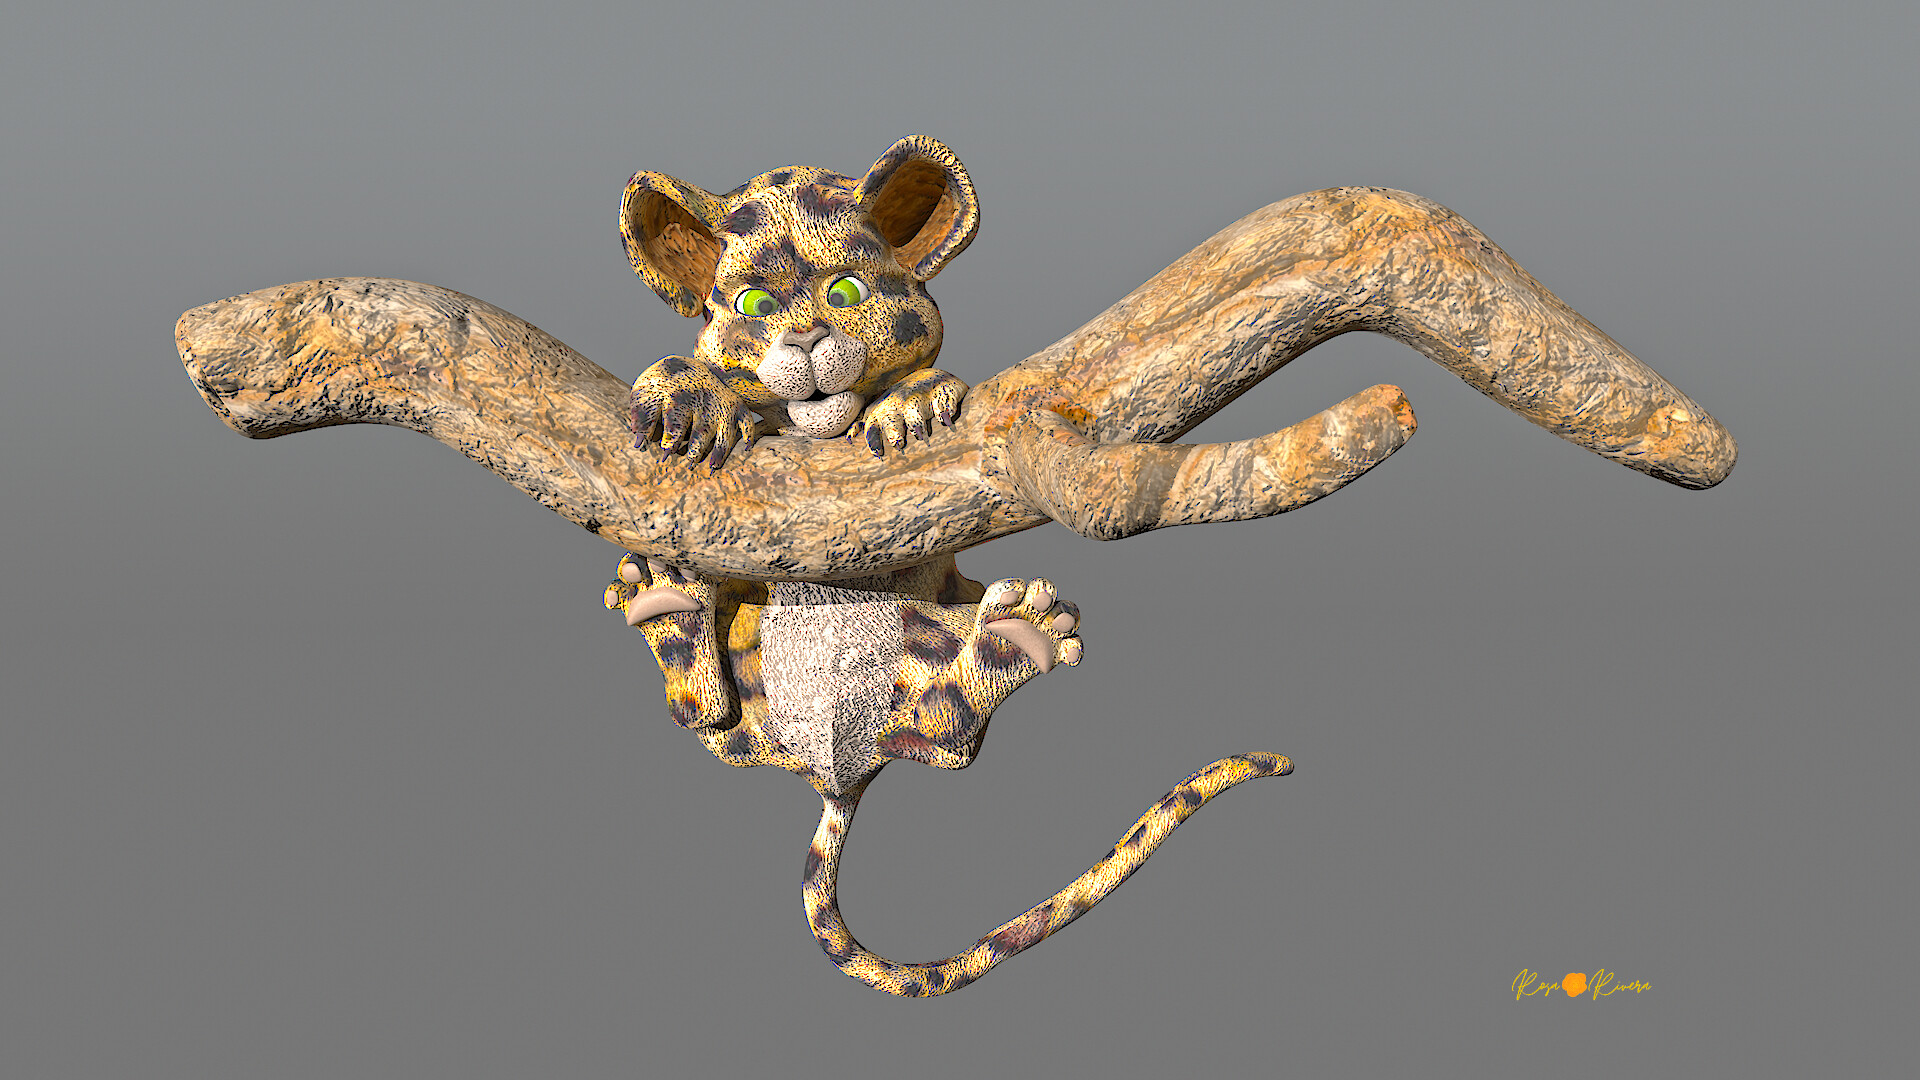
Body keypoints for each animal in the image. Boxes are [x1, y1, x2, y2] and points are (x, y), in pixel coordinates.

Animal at [610, 138, 1291, 996]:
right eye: (755, 304)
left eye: (846, 290)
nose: (802, 342)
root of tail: (838, 777)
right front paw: (683, 397)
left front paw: (911, 406)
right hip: (747, 679)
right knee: (706, 717)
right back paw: (667, 598)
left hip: (932, 628)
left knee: (945, 733)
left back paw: (1019, 637)